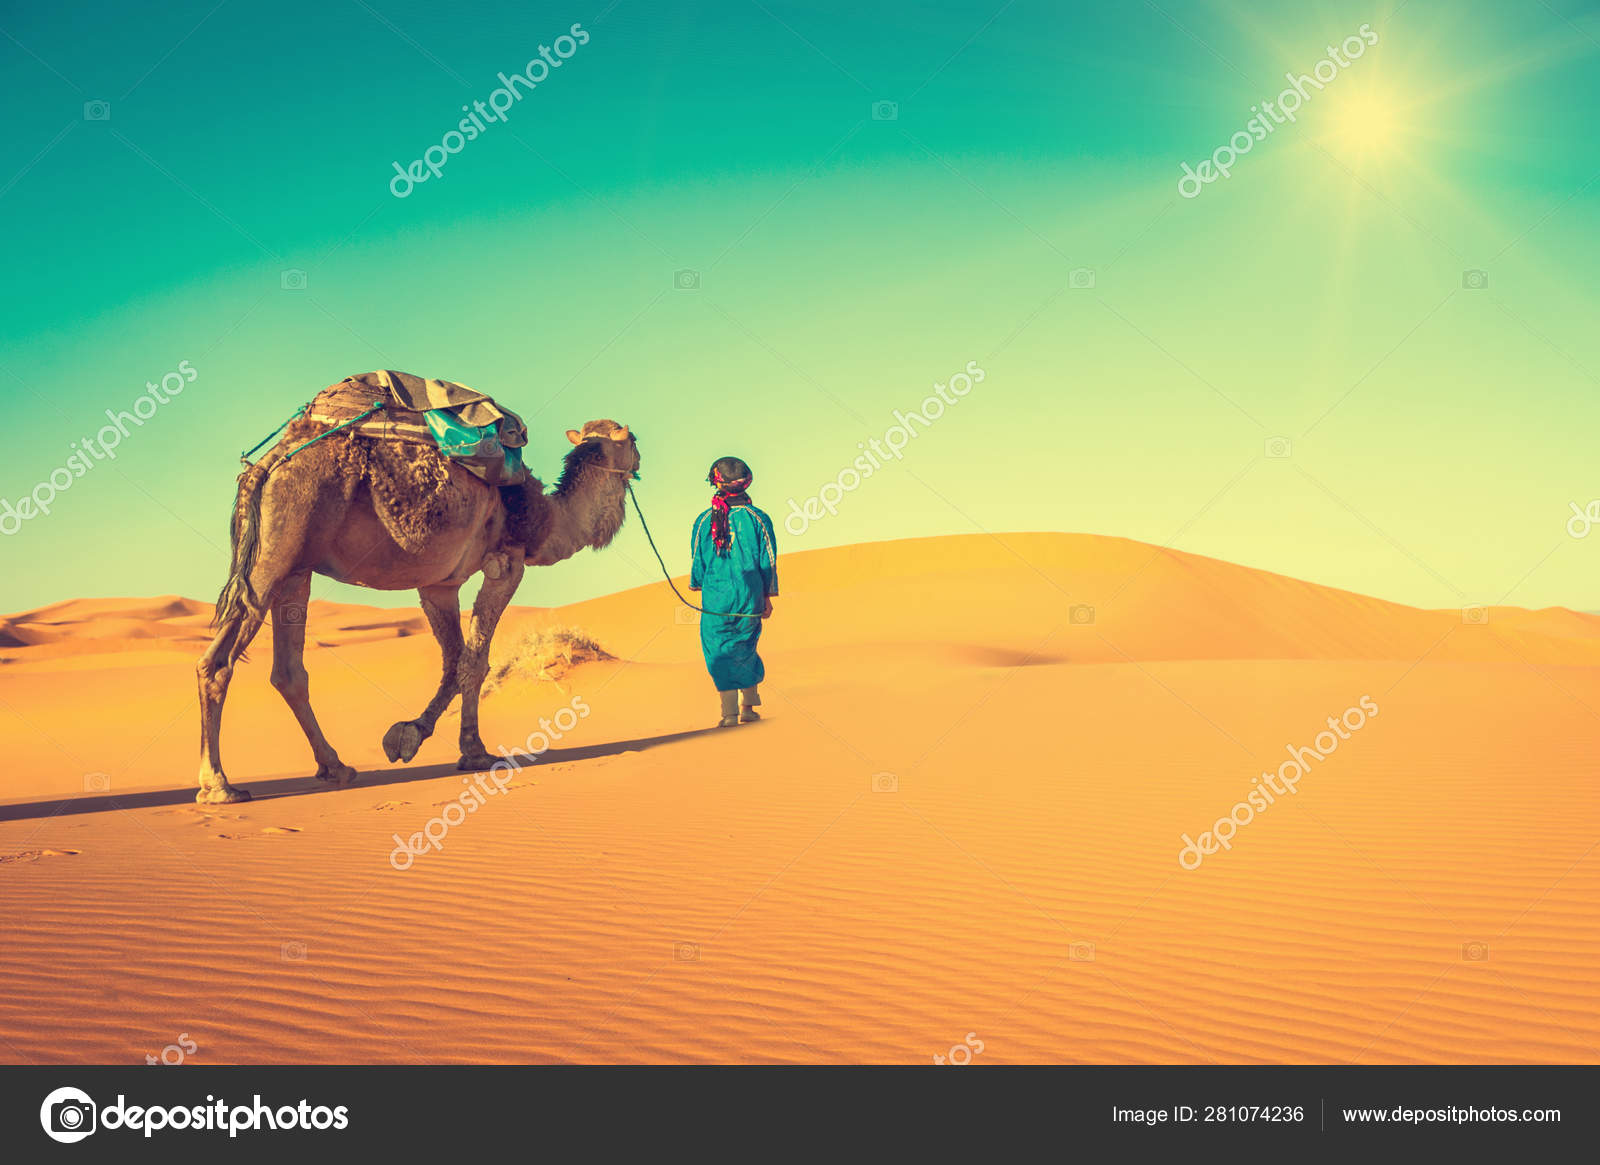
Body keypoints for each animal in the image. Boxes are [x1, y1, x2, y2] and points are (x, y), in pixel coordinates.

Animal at [195, 413, 639, 803]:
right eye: (631, 439)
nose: (639, 460)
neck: (547, 522)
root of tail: (266, 465)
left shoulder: (438, 584)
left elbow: (454, 662)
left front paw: (408, 735)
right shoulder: (507, 562)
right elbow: (475, 662)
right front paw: (472, 751)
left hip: (297, 567)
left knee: (289, 672)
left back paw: (336, 768)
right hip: (278, 546)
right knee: (217, 663)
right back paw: (219, 786)